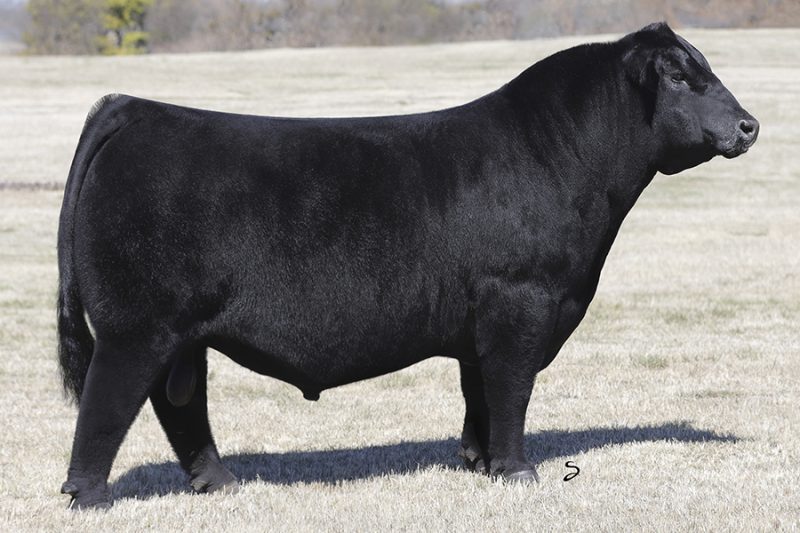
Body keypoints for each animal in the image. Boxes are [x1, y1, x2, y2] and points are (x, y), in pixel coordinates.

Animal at [57, 23, 758, 509]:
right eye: (680, 78)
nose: (749, 126)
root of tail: (137, 107)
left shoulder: (486, 320)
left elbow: (479, 392)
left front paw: (479, 462)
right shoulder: (522, 301)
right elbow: (511, 388)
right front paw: (519, 472)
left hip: (182, 335)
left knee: (180, 404)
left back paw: (220, 483)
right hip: (137, 326)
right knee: (109, 398)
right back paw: (91, 496)